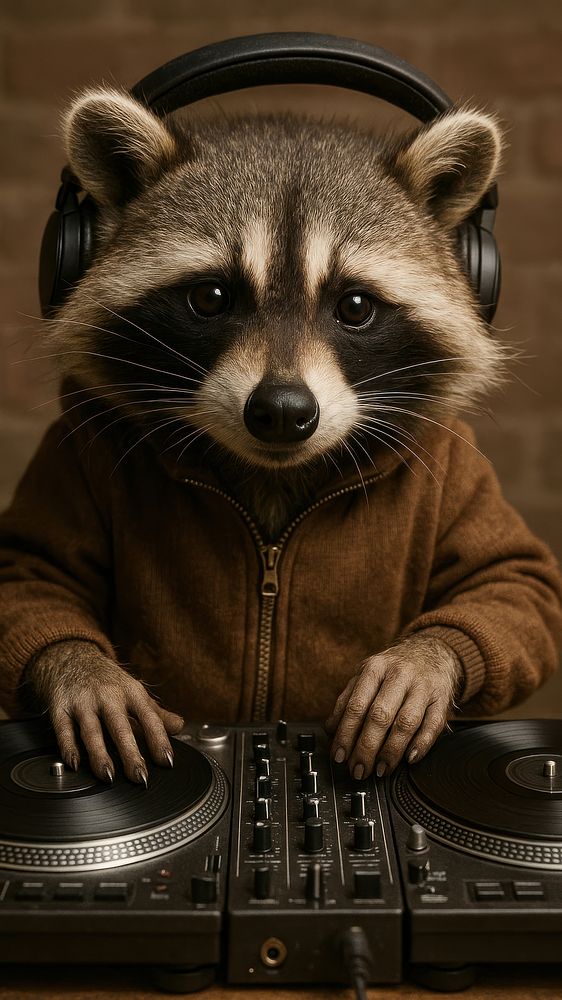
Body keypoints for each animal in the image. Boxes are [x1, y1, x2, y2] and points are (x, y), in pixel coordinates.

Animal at [2, 85, 560, 786]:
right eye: (211, 297)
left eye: (354, 307)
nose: (283, 411)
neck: (273, 474)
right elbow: (31, 571)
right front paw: (85, 673)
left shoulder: (456, 462)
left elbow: (517, 582)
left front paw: (423, 663)